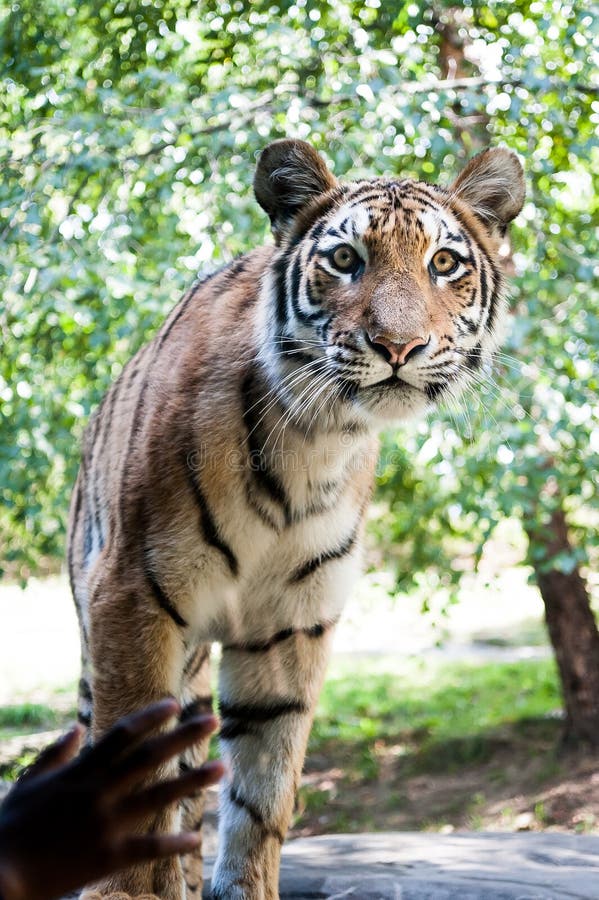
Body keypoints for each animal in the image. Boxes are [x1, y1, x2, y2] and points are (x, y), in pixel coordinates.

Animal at [67, 138, 524, 899]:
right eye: (344, 259)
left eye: (444, 263)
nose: (398, 348)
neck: (315, 440)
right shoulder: (131, 598)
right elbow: (132, 779)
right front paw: (124, 890)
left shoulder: (288, 622)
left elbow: (262, 793)